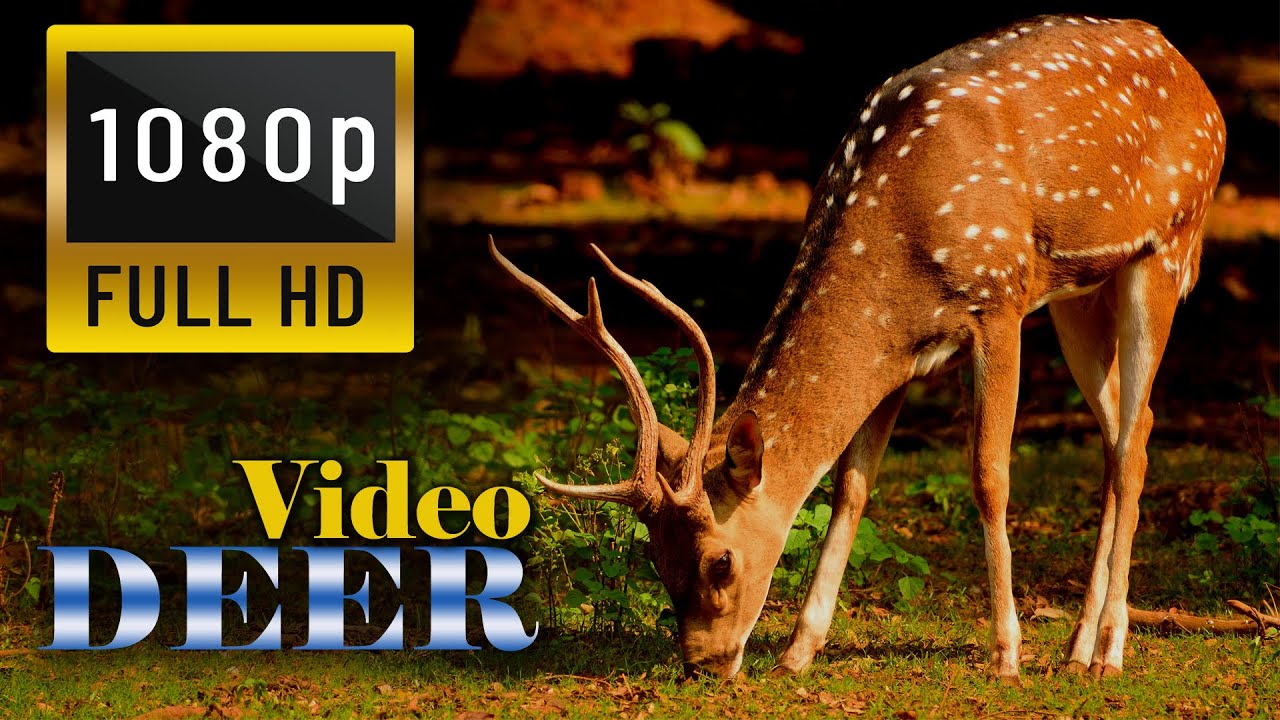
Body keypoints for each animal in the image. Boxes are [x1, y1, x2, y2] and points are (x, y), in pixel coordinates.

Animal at [491, 14, 1224, 681]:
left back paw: (1107, 652)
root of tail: (1195, 78)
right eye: (655, 558)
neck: (895, 249)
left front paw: (1007, 655)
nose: (702, 664)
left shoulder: (999, 299)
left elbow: (989, 476)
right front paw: (797, 652)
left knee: (1133, 445)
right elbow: (851, 486)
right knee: (1129, 430)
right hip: (1080, 292)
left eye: (719, 561)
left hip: (1167, 247)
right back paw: (1075, 648)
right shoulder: (900, 354)